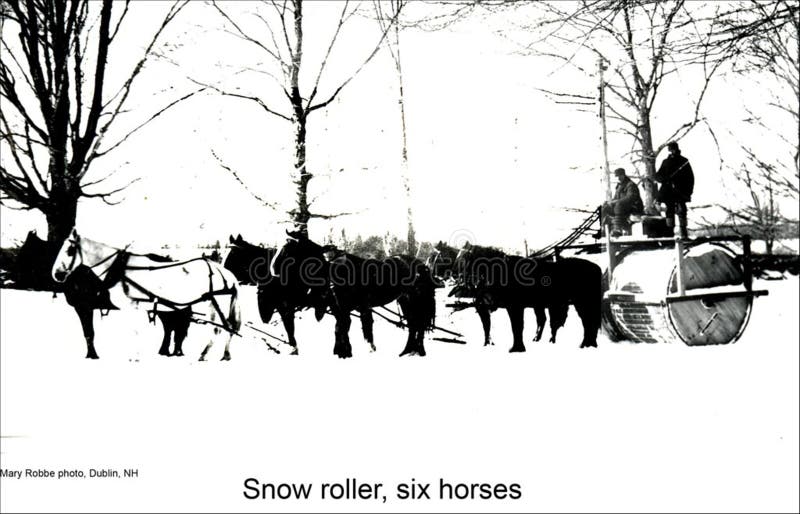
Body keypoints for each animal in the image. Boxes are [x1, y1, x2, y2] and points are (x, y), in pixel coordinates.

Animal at [52, 229, 241, 360]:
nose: (56, 274)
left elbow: (133, 332)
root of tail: (223, 271)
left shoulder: (128, 306)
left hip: (214, 305)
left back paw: (213, 354)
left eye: (69, 250)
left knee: (221, 328)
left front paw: (133, 357)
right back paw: (216, 355)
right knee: (222, 328)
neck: (118, 269)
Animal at [271, 230, 437, 358]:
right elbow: (340, 328)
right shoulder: (339, 308)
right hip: (405, 300)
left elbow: (355, 329)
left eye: (288, 247)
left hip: (417, 299)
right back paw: (407, 351)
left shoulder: (353, 308)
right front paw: (341, 351)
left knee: (419, 324)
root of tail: (421, 264)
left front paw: (348, 351)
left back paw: (419, 350)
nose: (273, 268)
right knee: (413, 324)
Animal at [453, 243, 601, 351]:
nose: (455, 275)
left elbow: (517, 326)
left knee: (588, 322)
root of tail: (596, 267)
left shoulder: (515, 307)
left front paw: (517, 348)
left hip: (582, 303)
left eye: (465, 258)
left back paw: (586, 344)